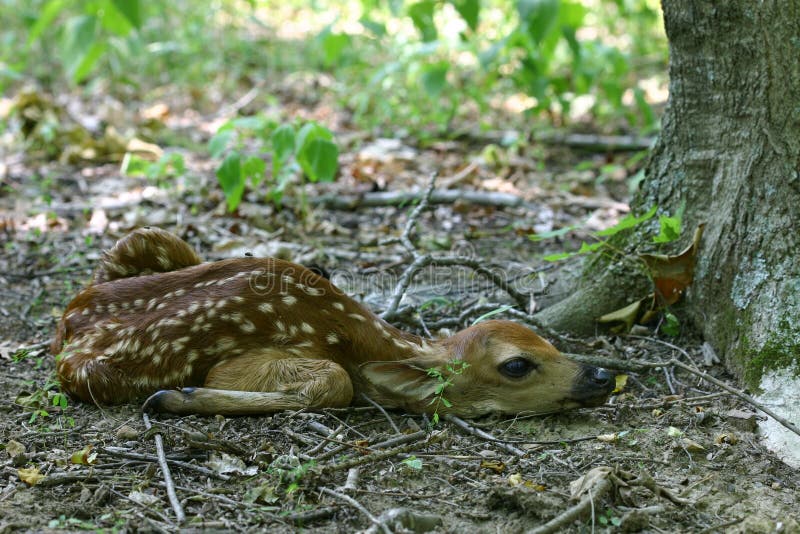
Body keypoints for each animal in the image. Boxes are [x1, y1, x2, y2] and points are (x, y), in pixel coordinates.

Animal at [52, 227, 615, 417]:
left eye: (549, 343)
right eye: (516, 366)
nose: (604, 375)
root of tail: (70, 323)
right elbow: (336, 382)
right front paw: (179, 396)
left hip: (141, 245)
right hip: (91, 374)